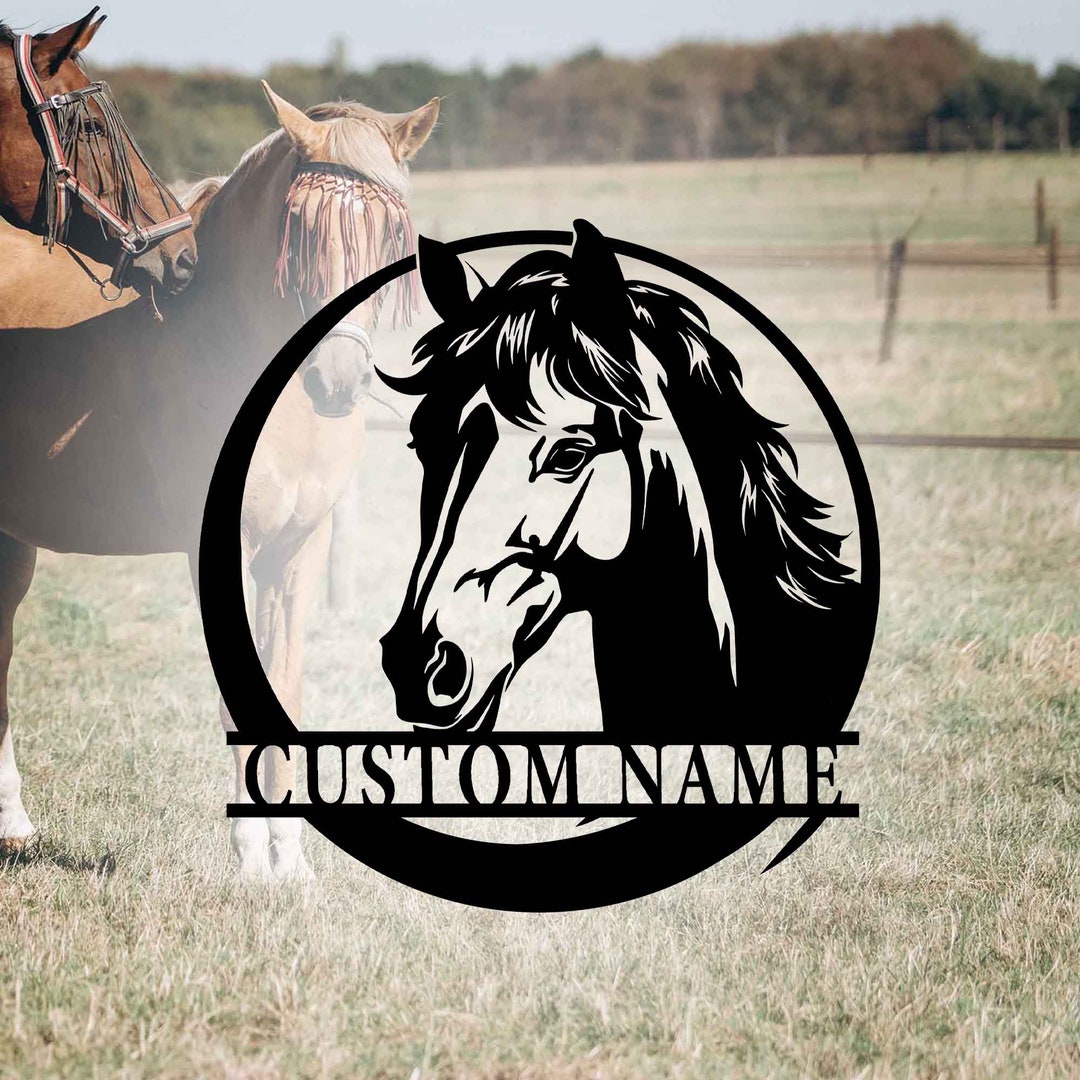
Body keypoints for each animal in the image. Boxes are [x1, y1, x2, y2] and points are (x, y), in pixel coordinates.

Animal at [0, 84, 438, 877]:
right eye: (299, 233)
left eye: (392, 238)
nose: (339, 382)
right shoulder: (222, 555)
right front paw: (252, 862)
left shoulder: (298, 555)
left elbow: (286, 685)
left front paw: (291, 864)